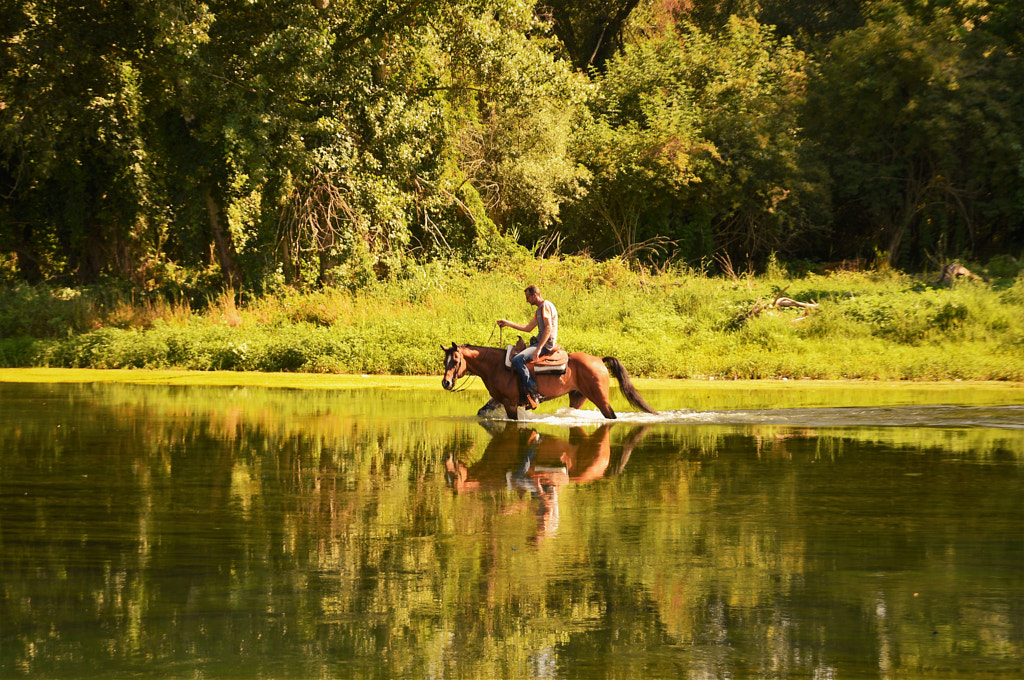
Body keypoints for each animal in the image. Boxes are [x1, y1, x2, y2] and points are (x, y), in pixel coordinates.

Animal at [440, 342, 658, 420]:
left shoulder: (510, 403)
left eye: (456, 361)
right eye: (445, 361)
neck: (496, 366)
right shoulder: (498, 400)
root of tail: (598, 359)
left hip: (600, 398)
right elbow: (482, 412)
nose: (446, 383)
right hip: (578, 397)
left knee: (611, 415)